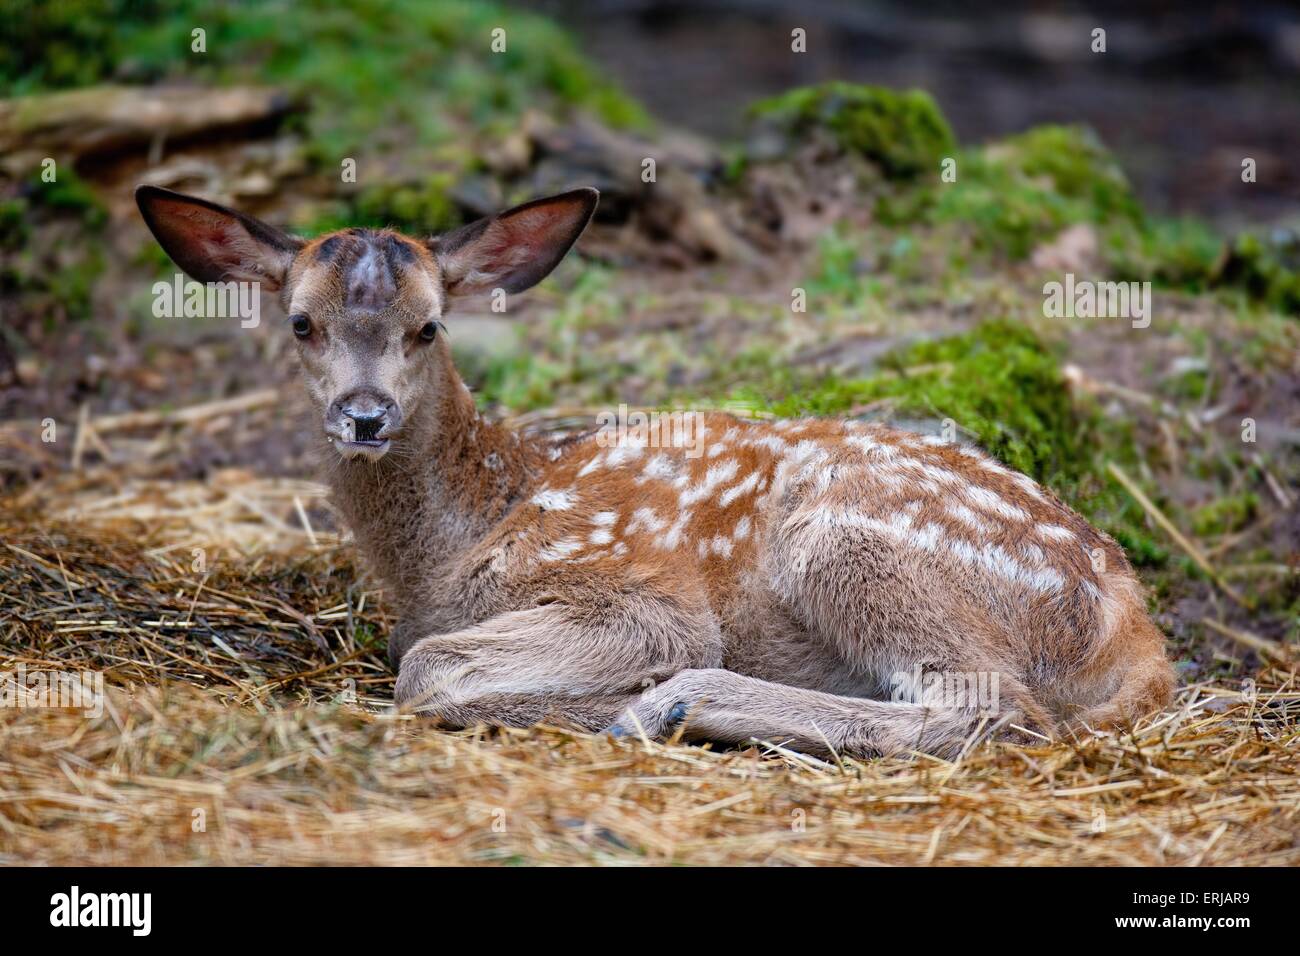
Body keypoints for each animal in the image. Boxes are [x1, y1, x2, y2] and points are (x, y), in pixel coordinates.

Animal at [135, 184, 1175, 759]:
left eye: (428, 326)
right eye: (301, 322)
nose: (364, 415)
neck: (462, 536)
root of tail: (1136, 626)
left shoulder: (634, 592)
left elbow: (424, 668)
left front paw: (586, 701)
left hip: (847, 540)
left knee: (990, 708)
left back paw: (665, 706)